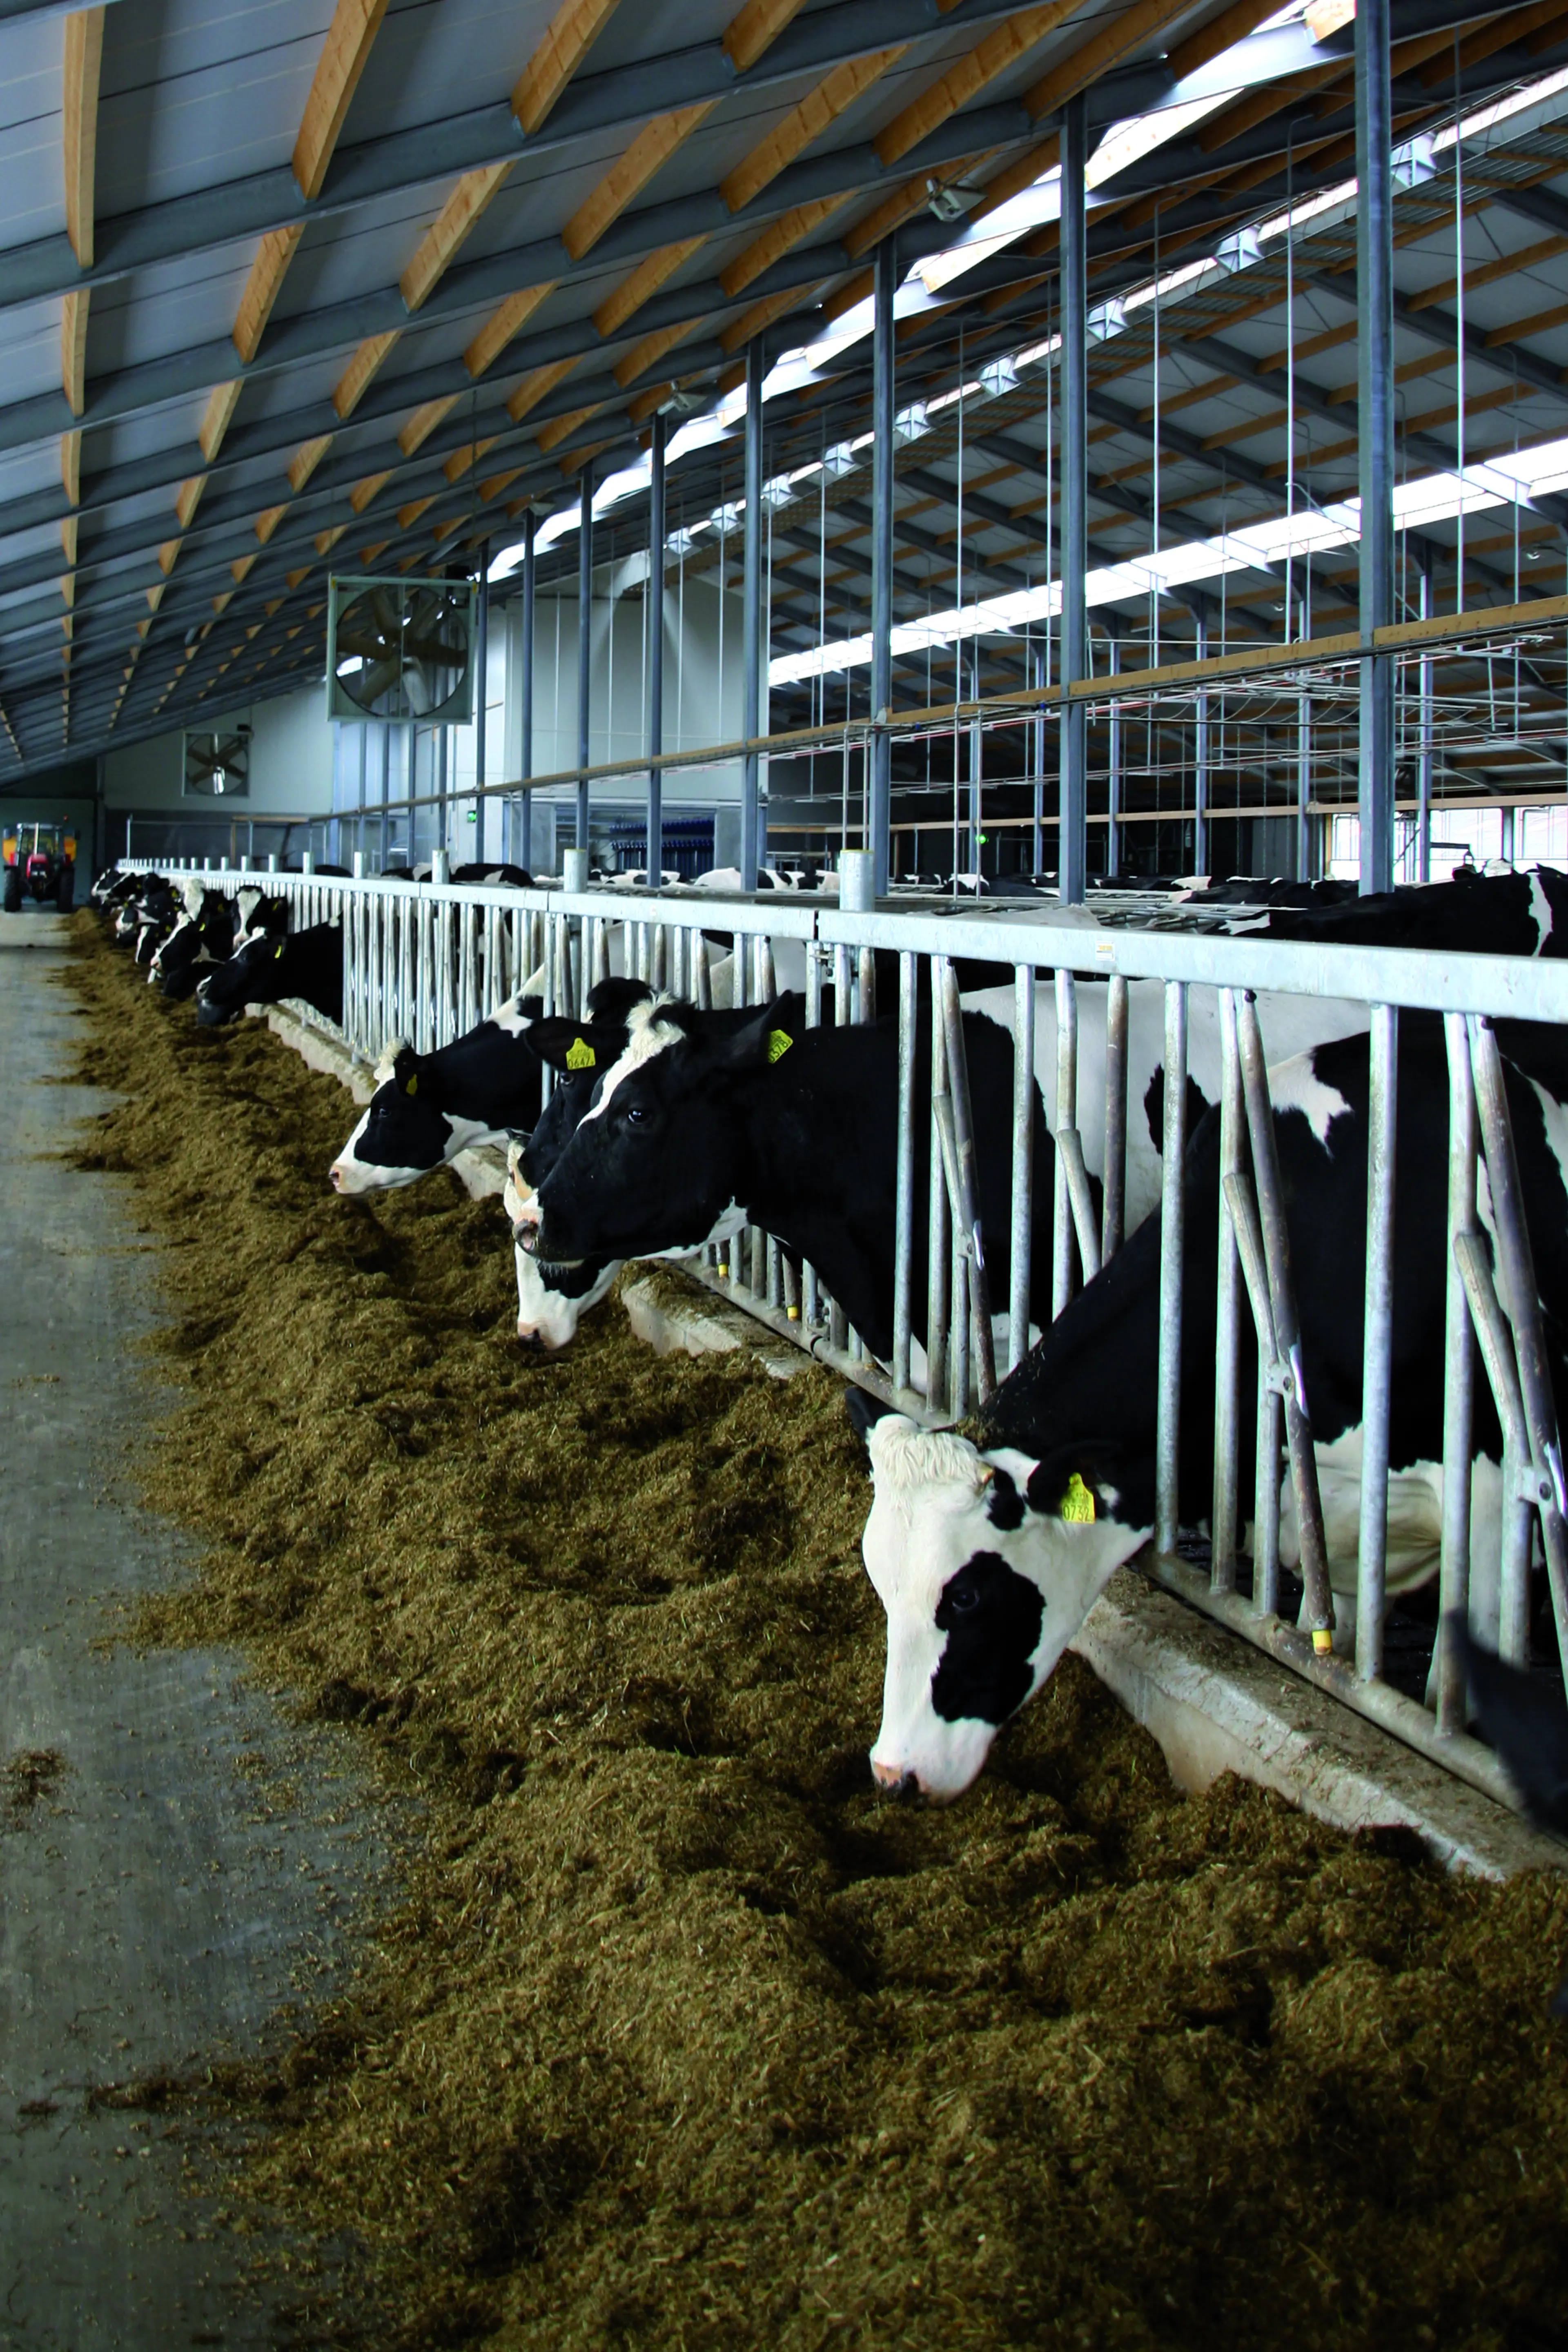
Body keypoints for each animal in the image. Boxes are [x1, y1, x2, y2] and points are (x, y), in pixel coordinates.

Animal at [846, 1015, 1568, 1802]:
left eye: (969, 1597)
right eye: (879, 1583)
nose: (892, 1774)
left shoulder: (1492, 1500)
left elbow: (1451, 1695)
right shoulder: (1327, 1526)